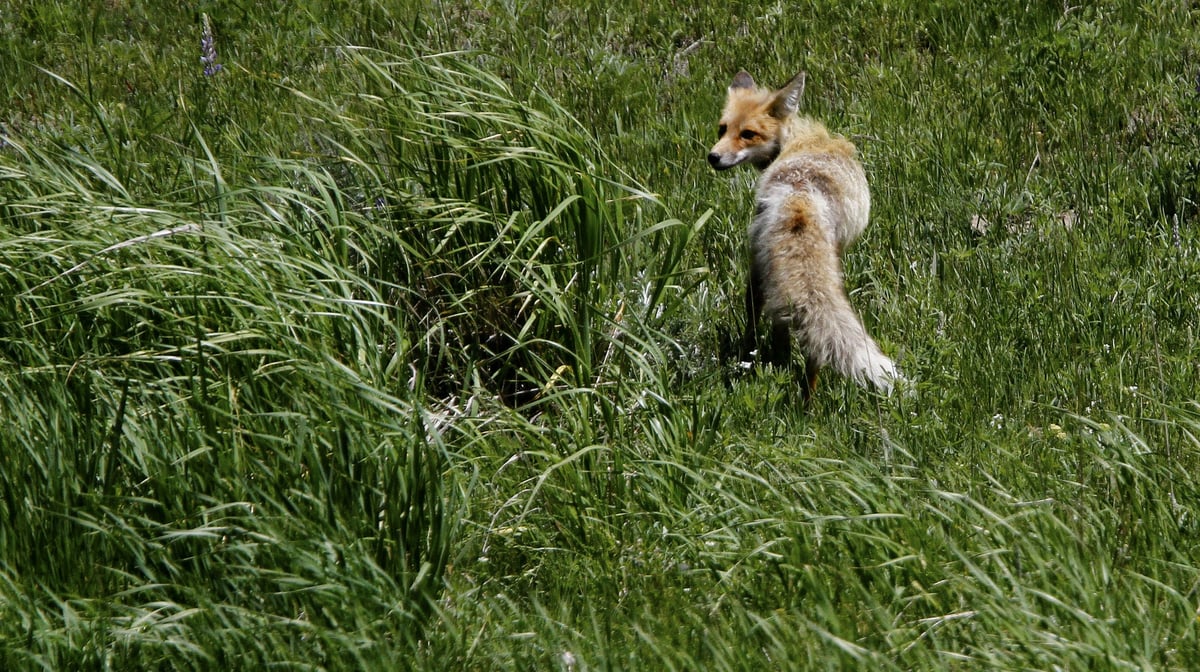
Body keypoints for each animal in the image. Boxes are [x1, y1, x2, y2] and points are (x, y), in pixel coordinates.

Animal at [708, 70, 900, 398]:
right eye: (723, 129)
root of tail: (799, 196)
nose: (713, 157)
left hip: (764, 265)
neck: (798, 138)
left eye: (747, 133)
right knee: (799, 341)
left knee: (772, 324)